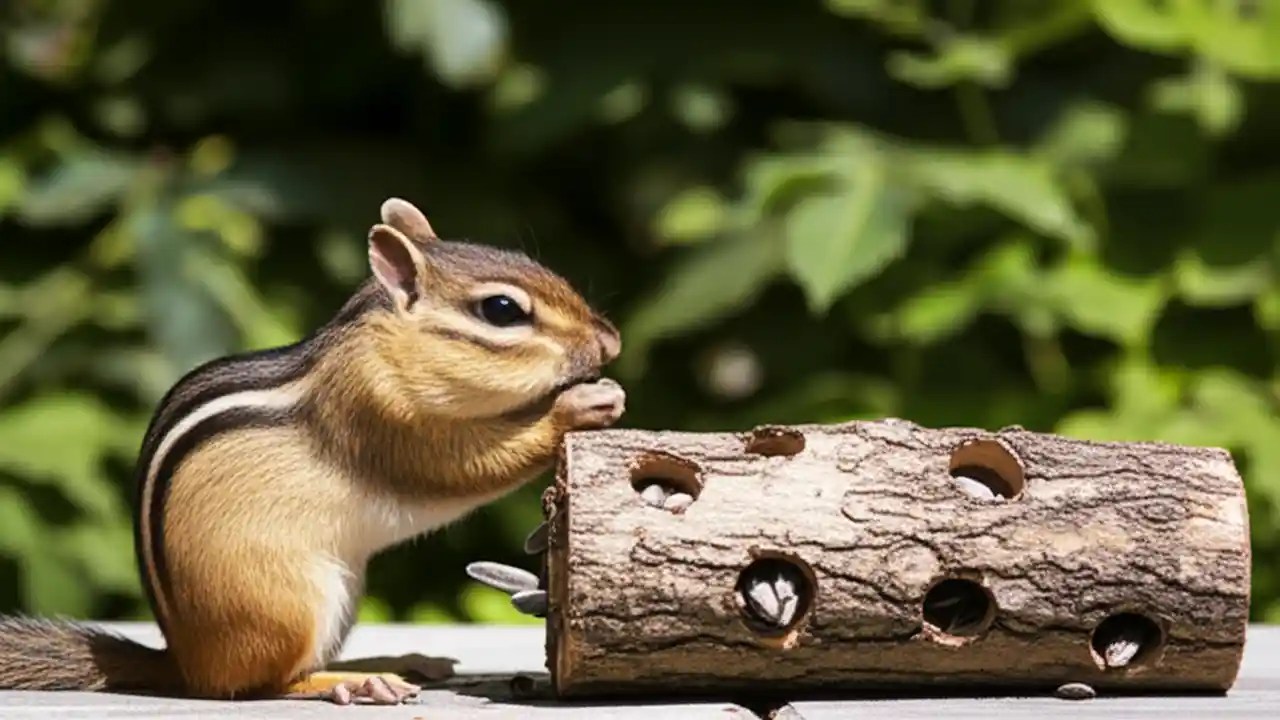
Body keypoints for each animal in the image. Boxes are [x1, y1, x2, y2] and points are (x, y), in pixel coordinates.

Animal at [0, 197, 626, 705]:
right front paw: (582, 404)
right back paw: (357, 681)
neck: (386, 346)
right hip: (290, 601)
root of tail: (185, 661)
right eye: (501, 310)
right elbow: (461, 465)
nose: (612, 341)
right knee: (262, 684)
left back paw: (396, 660)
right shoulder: (377, 414)